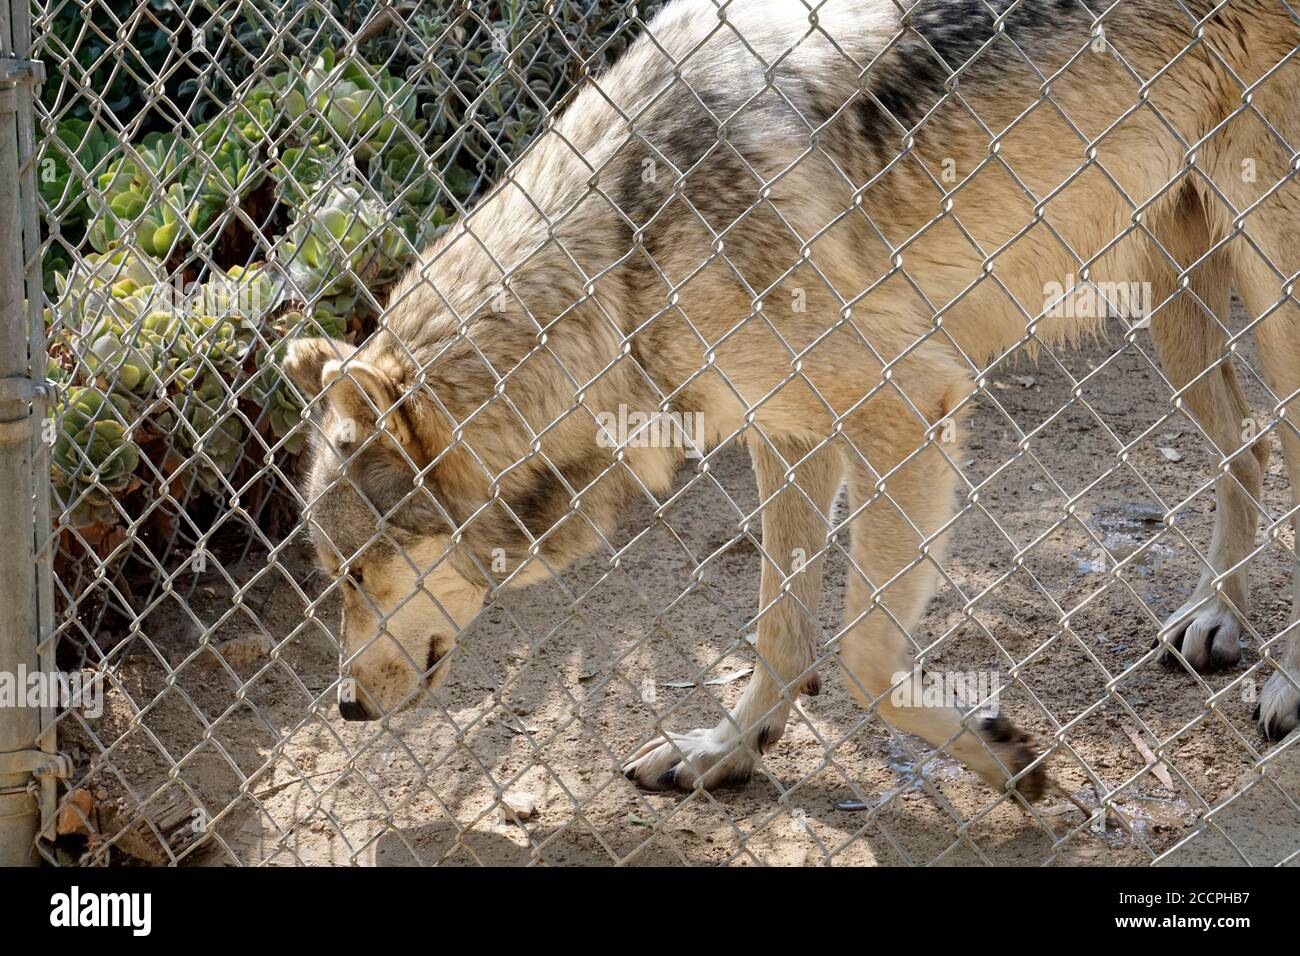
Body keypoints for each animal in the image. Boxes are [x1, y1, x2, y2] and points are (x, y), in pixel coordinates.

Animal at [285, 0, 1300, 799]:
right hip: (1174, 301)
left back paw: (1286, 687)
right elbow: (780, 629)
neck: (621, 263)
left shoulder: (907, 411)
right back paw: (1218, 616)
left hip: (1273, 299)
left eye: (354, 575)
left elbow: (860, 658)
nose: (342, 707)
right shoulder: (792, 437)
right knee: (1246, 445)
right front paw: (725, 753)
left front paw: (1000, 758)